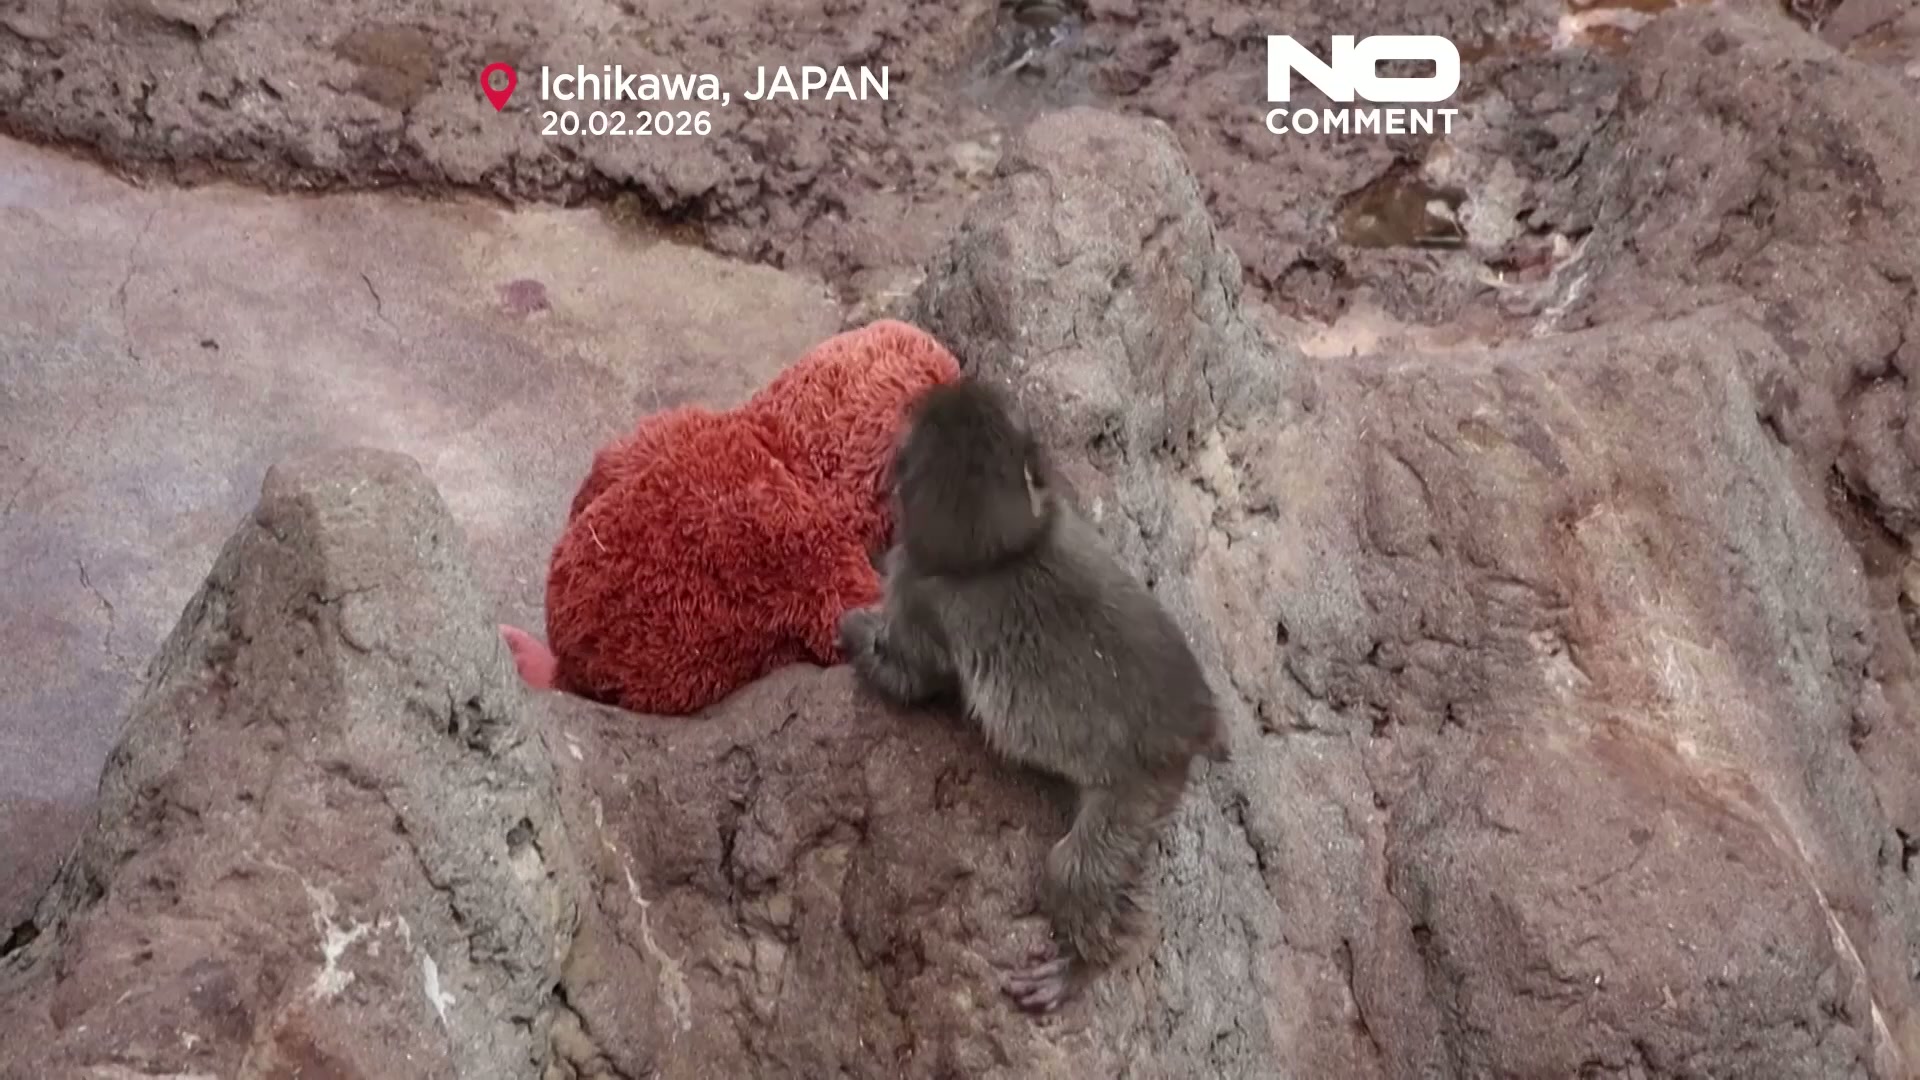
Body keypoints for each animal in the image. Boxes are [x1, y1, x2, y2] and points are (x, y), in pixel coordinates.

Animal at [837, 377, 1228, 1014]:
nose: (945, 382)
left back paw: (1083, 966)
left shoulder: (918, 593)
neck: (1001, 554)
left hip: (1136, 794)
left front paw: (852, 631)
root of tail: (1198, 726)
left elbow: (911, 679)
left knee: (1074, 870)